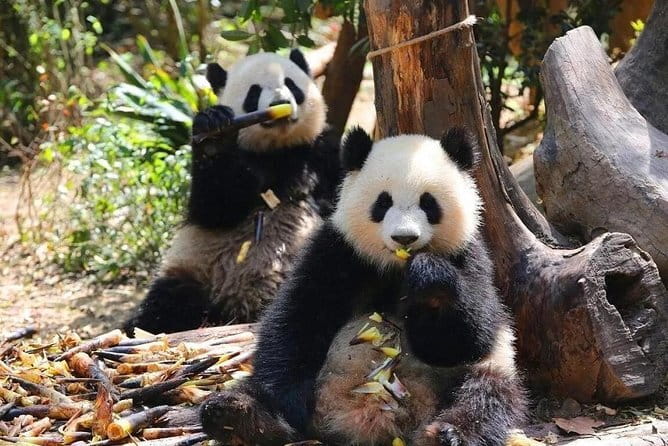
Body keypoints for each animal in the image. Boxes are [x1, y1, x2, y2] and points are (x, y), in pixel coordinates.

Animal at [124, 49, 341, 334]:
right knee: (161, 307)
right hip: (195, 274)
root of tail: (232, 310)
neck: (279, 150)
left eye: (291, 84)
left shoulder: (322, 152)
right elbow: (214, 209)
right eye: (254, 93)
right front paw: (214, 134)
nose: (280, 103)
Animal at [199, 127, 527, 445]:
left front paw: (429, 278)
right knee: (246, 391)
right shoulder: (338, 250)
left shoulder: (470, 255)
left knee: (485, 397)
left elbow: (468, 336)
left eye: (428, 203)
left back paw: (448, 434)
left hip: (483, 371)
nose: (404, 237)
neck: (394, 266)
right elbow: (297, 319)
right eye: (383, 202)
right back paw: (241, 416)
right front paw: (288, 404)